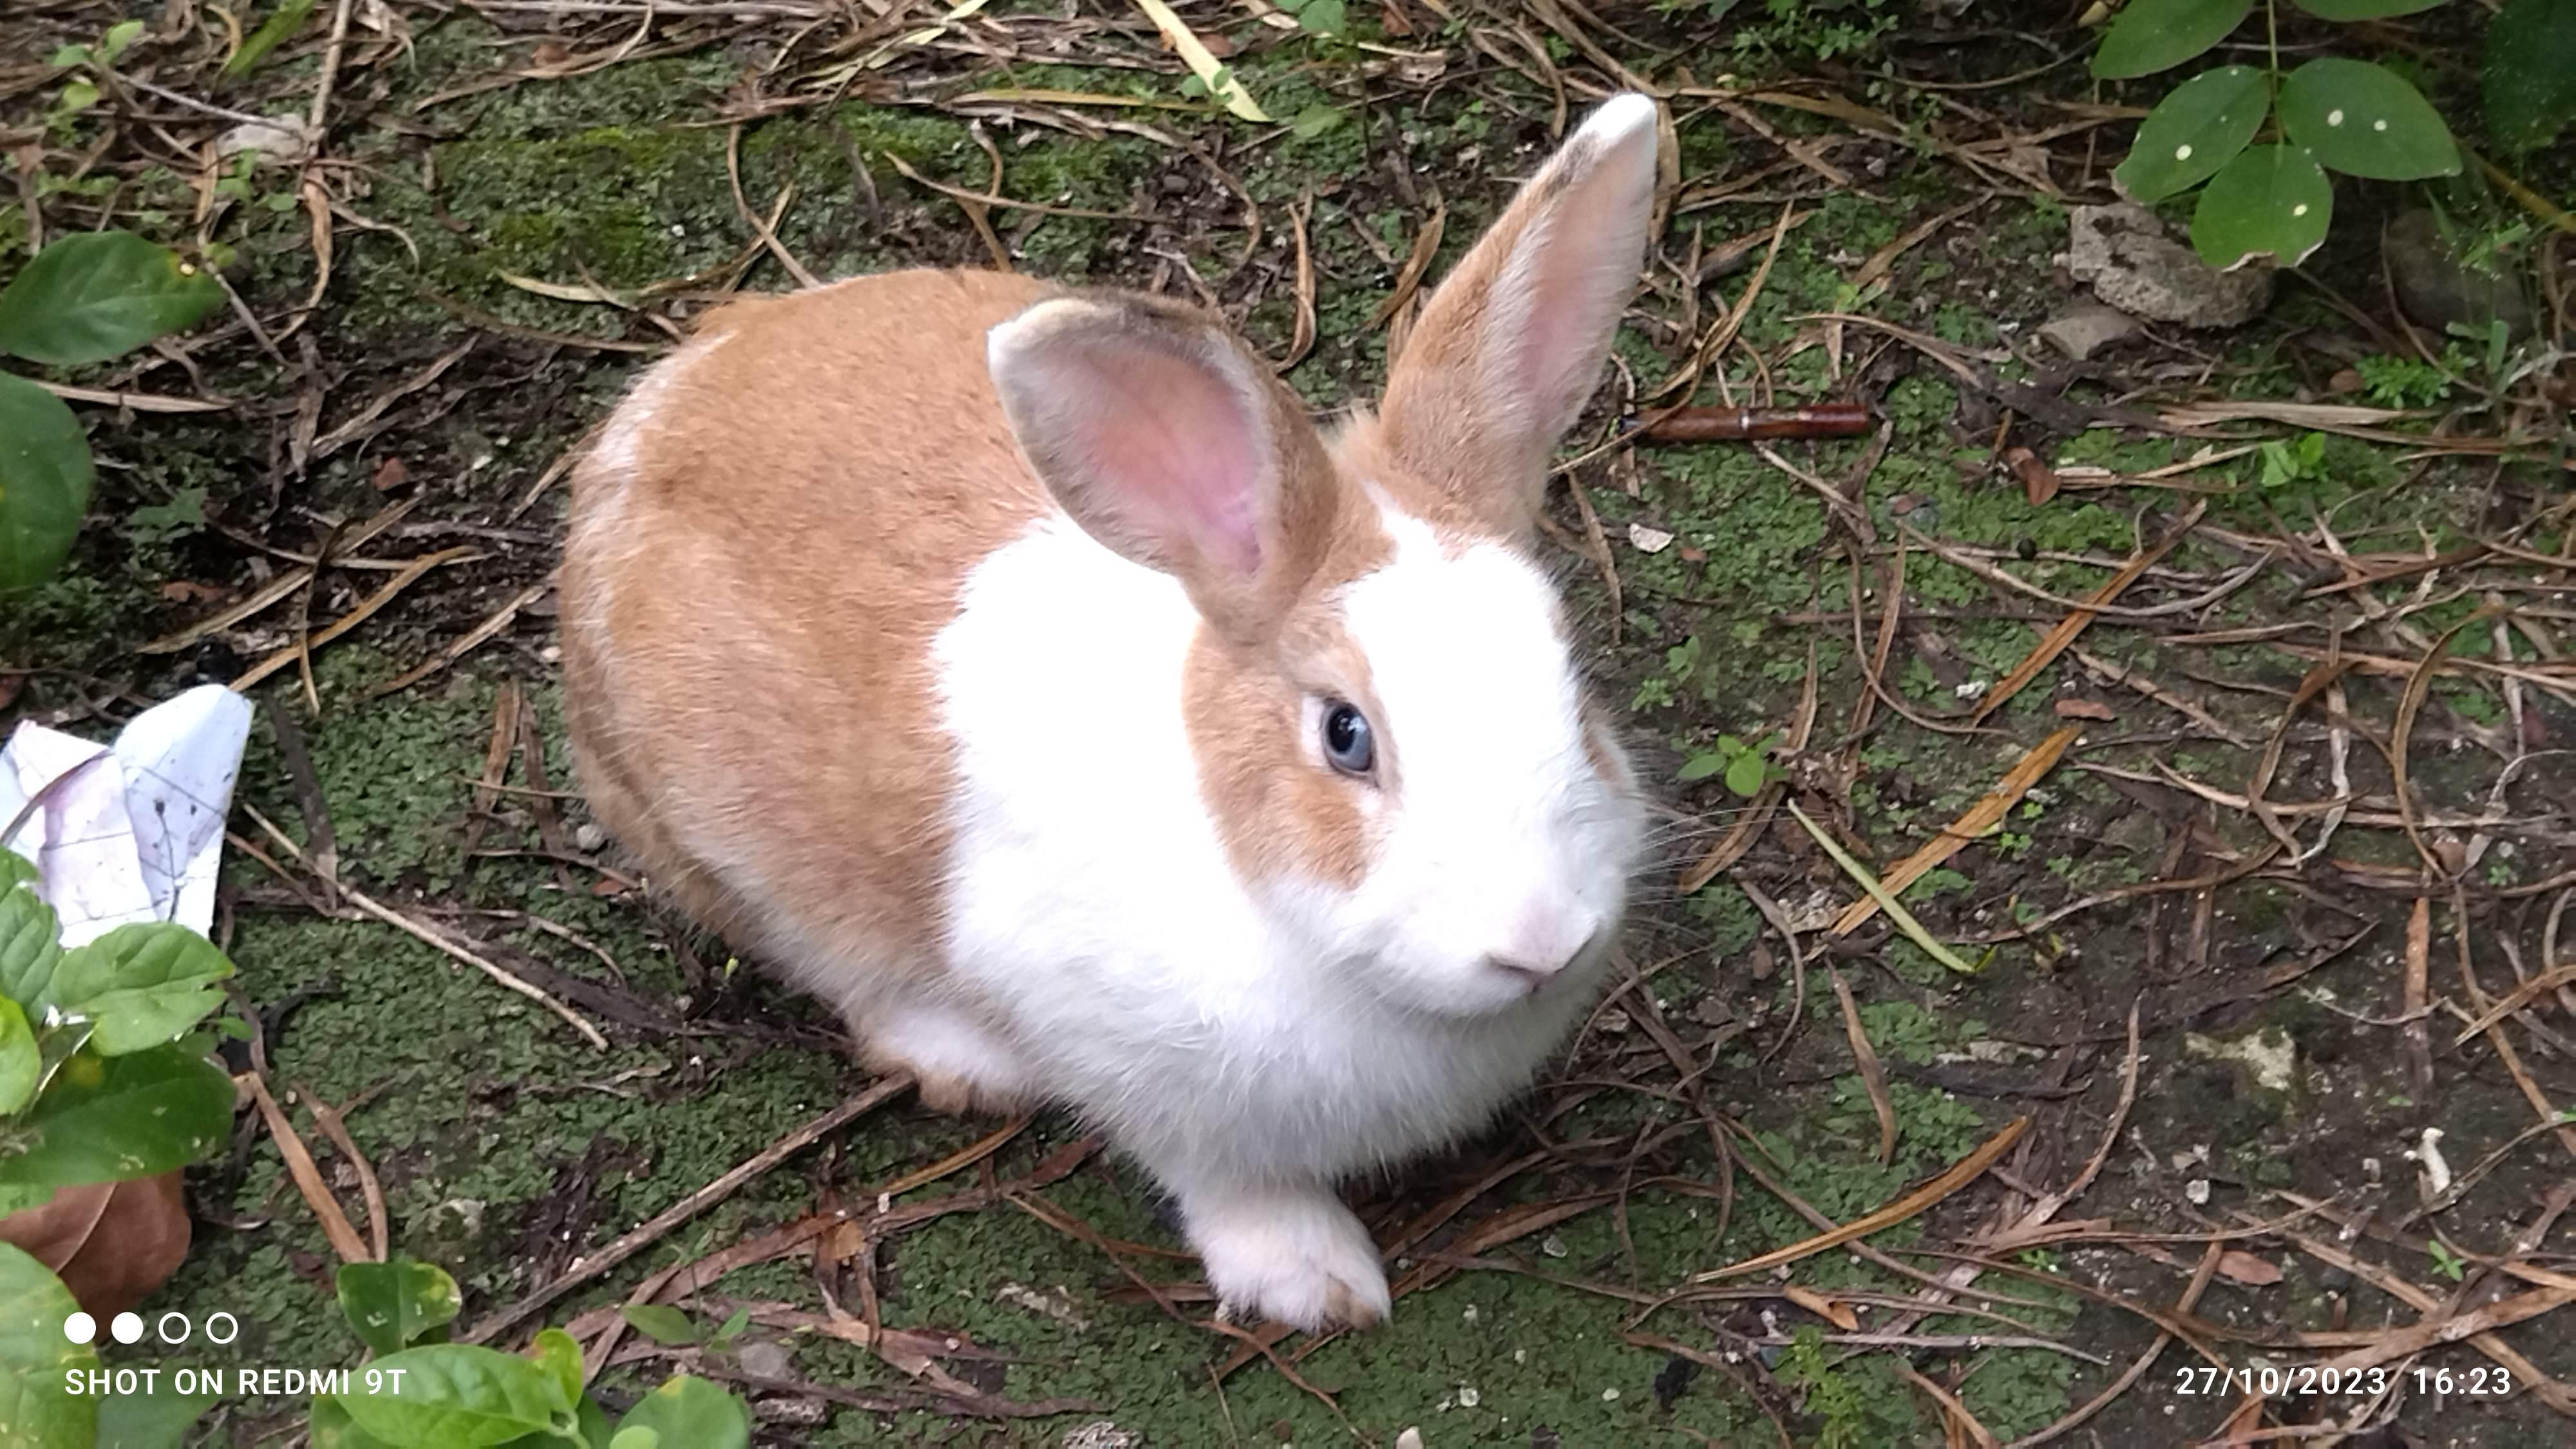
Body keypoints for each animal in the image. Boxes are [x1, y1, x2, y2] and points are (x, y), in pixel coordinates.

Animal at [558, 91, 1660, 1331]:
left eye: (1571, 683)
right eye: (1346, 735)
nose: (1542, 941)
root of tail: (654, 407)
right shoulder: (1129, 1061)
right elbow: (1222, 1176)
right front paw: (1316, 1283)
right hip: (732, 840)